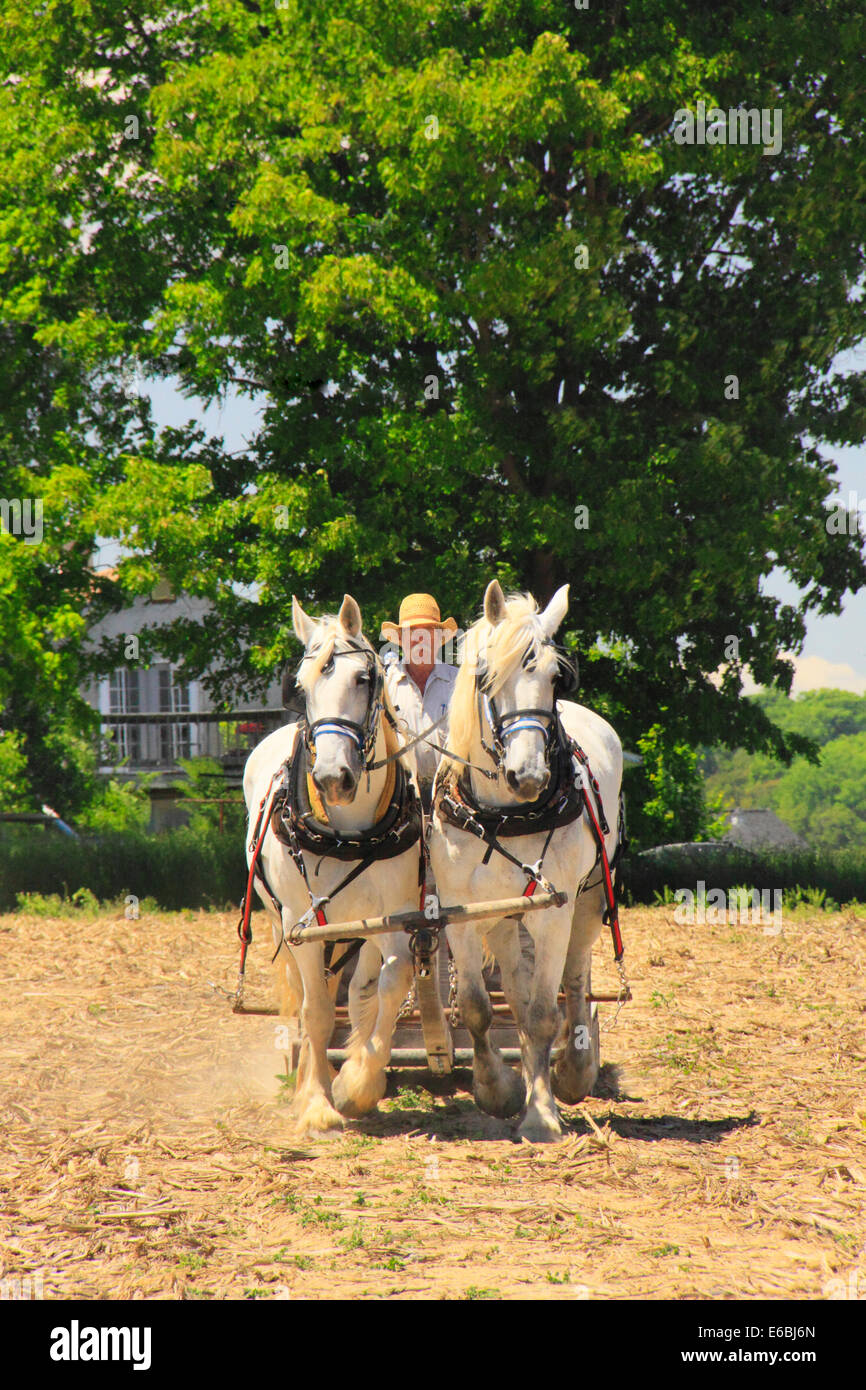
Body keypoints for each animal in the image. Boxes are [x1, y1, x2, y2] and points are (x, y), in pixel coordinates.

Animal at [242, 593, 420, 1136]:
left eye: (363, 678)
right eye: (300, 687)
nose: (332, 778)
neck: (348, 830)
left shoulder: (395, 915)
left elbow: (387, 988)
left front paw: (358, 1084)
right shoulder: (302, 924)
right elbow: (318, 1012)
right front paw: (318, 1101)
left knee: (357, 988)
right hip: (284, 920)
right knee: (309, 998)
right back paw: (303, 1079)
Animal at [429, 579, 624, 1142]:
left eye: (555, 677)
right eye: (486, 675)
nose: (530, 775)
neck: (501, 814)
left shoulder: (554, 912)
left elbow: (541, 1014)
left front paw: (540, 1114)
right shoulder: (461, 912)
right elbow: (478, 1007)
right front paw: (499, 1090)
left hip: (587, 900)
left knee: (575, 983)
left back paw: (573, 1070)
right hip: (502, 916)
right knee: (514, 993)